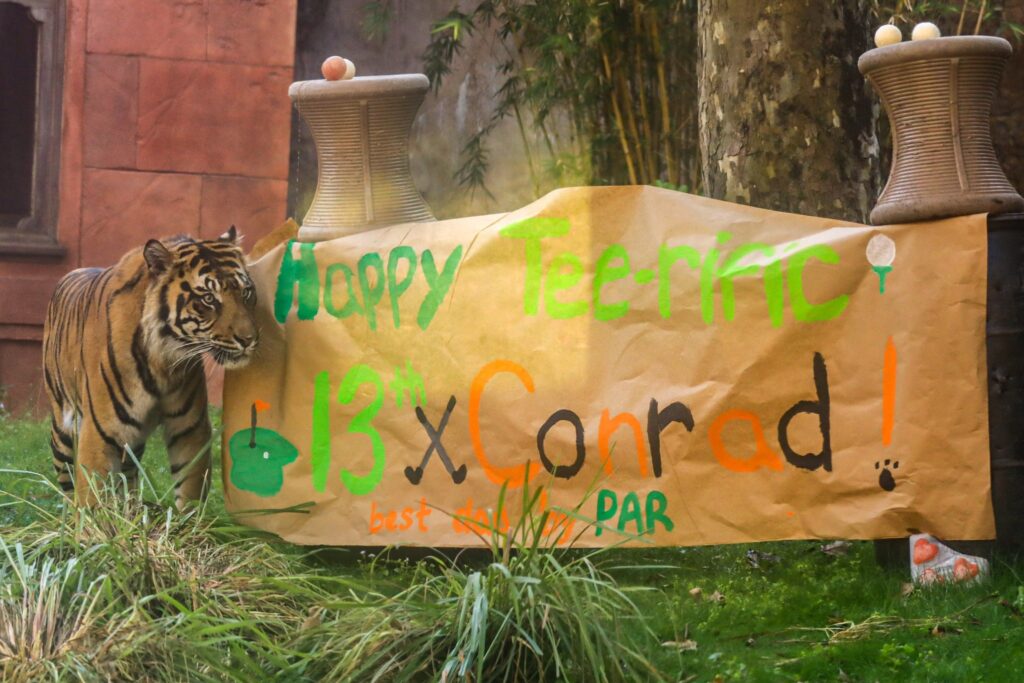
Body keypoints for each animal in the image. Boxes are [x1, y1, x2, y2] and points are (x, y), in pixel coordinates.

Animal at [42, 226, 258, 507]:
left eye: (246, 292)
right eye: (209, 299)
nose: (249, 339)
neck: (162, 359)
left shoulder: (190, 428)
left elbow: (191, 488)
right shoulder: (99, 433)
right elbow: (92, 498)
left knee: (127, 476)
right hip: (63, 432)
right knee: (68, 486)